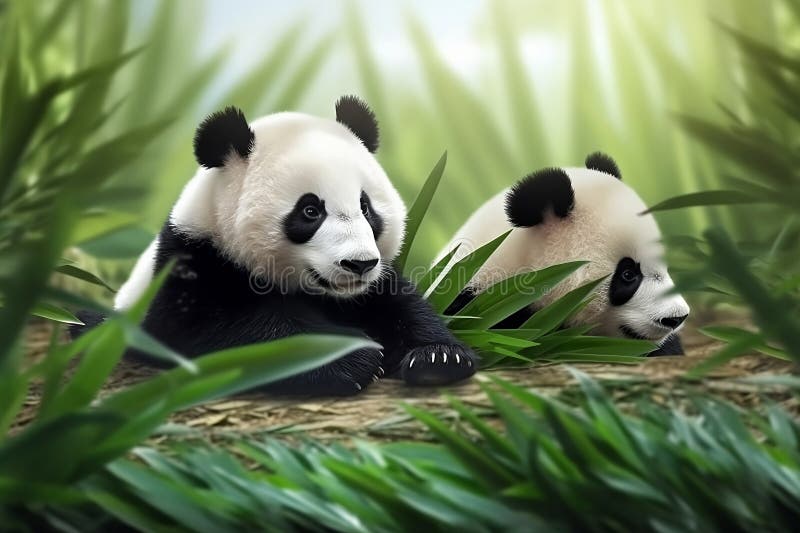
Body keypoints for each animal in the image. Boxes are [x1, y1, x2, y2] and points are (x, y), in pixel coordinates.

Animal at [82, 96, 476, 395]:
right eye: (310, 210)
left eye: (366, 207)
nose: (359, 264)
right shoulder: (191, 261)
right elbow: (219, 326)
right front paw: (350, 357)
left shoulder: (374, 284)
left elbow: (402, 305)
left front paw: (438, 358)